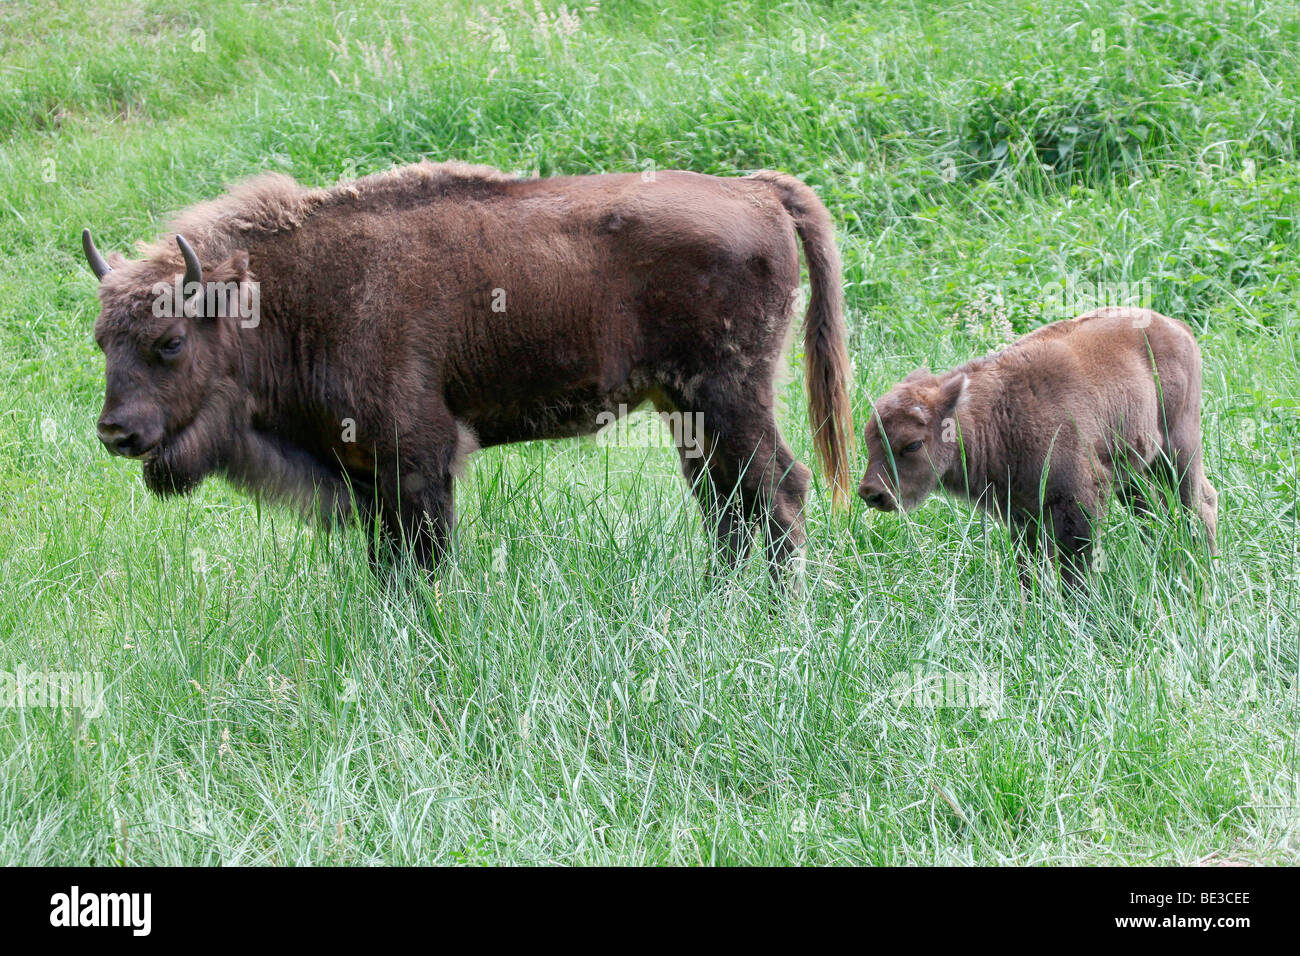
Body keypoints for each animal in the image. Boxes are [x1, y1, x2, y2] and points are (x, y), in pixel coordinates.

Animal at [83, 161, 854, 582]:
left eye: (169, 341)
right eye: (101, 341)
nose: (116, 433)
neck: (279, 299)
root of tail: (755, 192)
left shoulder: (419, 460)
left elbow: (423, 559)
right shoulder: (369, 477)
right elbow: (388, 560)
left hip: (730, 395)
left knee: (779, 492)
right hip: (685, 409)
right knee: (726, 504)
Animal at [856, 307, 1218, 587]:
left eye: (912, 444)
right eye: (869, 438)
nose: (872, 492)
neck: (993, 414)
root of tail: (1177, 327)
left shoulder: (1078, 502)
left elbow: (1075, 568)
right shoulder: (1022, 514)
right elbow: (1029, 568)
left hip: (1178, 450)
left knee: (1199, 503)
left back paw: (1205, 568)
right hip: (1135, 472)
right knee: (1154, 511)